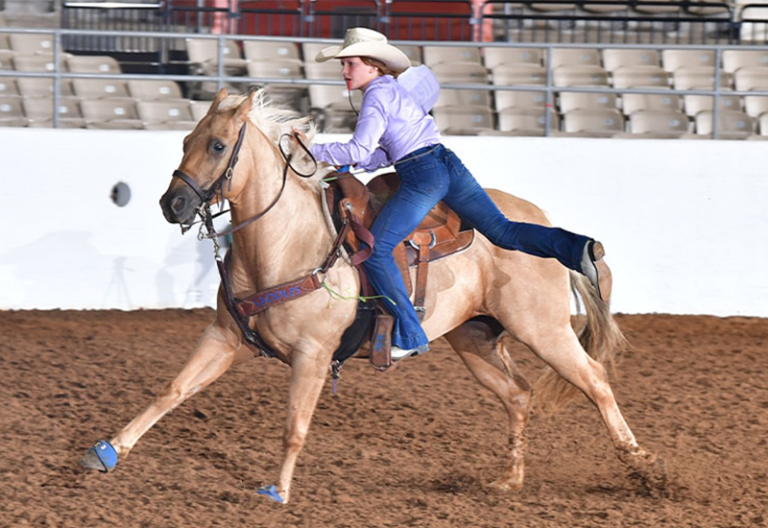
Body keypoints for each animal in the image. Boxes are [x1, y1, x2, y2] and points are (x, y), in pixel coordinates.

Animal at [80, 89, 667, 503]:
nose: (173, 204)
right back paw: (509, 481)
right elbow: (172, 390)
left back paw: (645, 469)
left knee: (595, 381)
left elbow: (295, 426)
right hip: (475, 338)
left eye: (218, 145)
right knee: (519, 395)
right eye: (185, 141)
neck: (287, 243)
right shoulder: (226, 336)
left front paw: (278, 490)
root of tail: (537, 216)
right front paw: (107, 451)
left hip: (542, 328)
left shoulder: (313, 356)